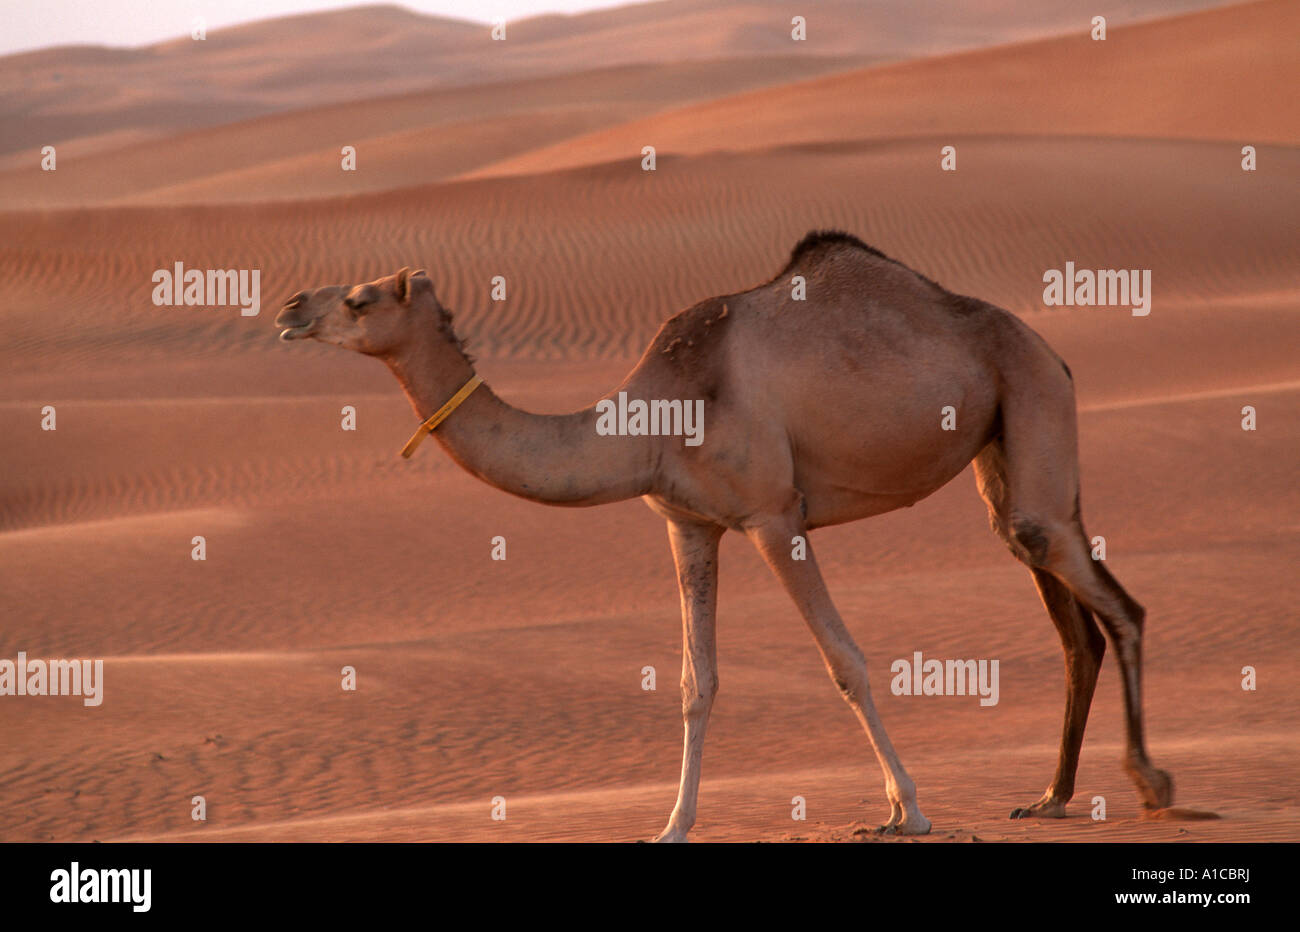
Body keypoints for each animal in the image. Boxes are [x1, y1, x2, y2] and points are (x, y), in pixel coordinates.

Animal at [275, 230, 1172, 841]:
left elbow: (844, 660)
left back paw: (1150, 782)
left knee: (1116, 602)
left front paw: (908, 810)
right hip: (1001, 446)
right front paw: (672, 824)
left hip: (1032, 399)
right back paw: (1051, 798)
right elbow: (693, 682)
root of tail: (1052, 351)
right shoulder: (690, 525)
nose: (287, 308)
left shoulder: (773, 514)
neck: (650, 413)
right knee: (1062, 601)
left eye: (360, 299)